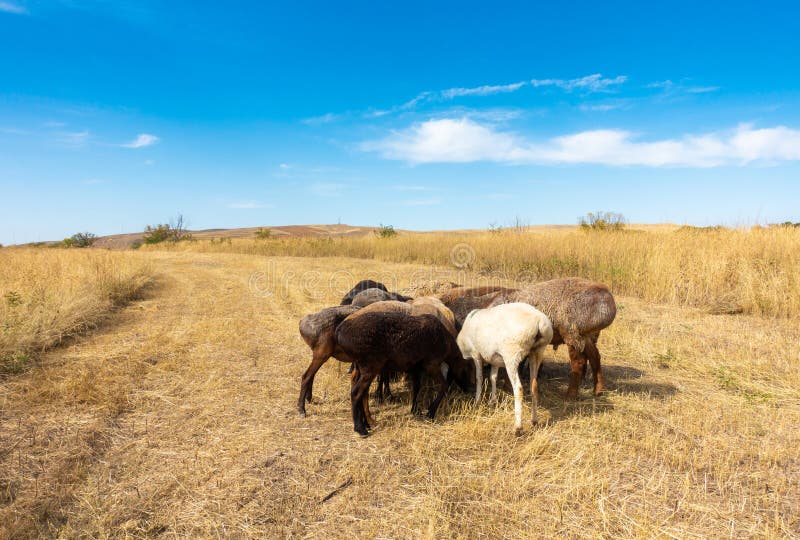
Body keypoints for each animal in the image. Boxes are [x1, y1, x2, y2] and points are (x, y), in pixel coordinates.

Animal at [336, 310, 474, 436]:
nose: (469, 388)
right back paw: (360, 428)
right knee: (356, 393)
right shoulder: (431, 364)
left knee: (360, 392)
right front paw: (430, 412)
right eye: (466, 370)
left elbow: (417, 387)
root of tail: (340, 332)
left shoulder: (416, 367)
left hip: (361, 366)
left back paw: (366, 424)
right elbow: (444, 386)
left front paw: (415, 410)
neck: (446, 343)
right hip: (370, 366)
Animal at [457, 302, 553, 435]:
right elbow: (493, 377)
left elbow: (479, 377)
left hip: (511, 355)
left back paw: (517, 428)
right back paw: (534, 421)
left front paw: (477, 401)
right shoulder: (494, 358)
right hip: (537, 352)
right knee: (534, 386)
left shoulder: (476, 353)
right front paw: (492, 401)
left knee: (518, 388)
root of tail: (539, 321)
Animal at [487, 278, 617, 398]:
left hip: (573, 334)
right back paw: (598, 391)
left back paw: (570, 395)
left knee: (579, 363)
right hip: (586, 337)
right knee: (595, 357)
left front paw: (507, 387)